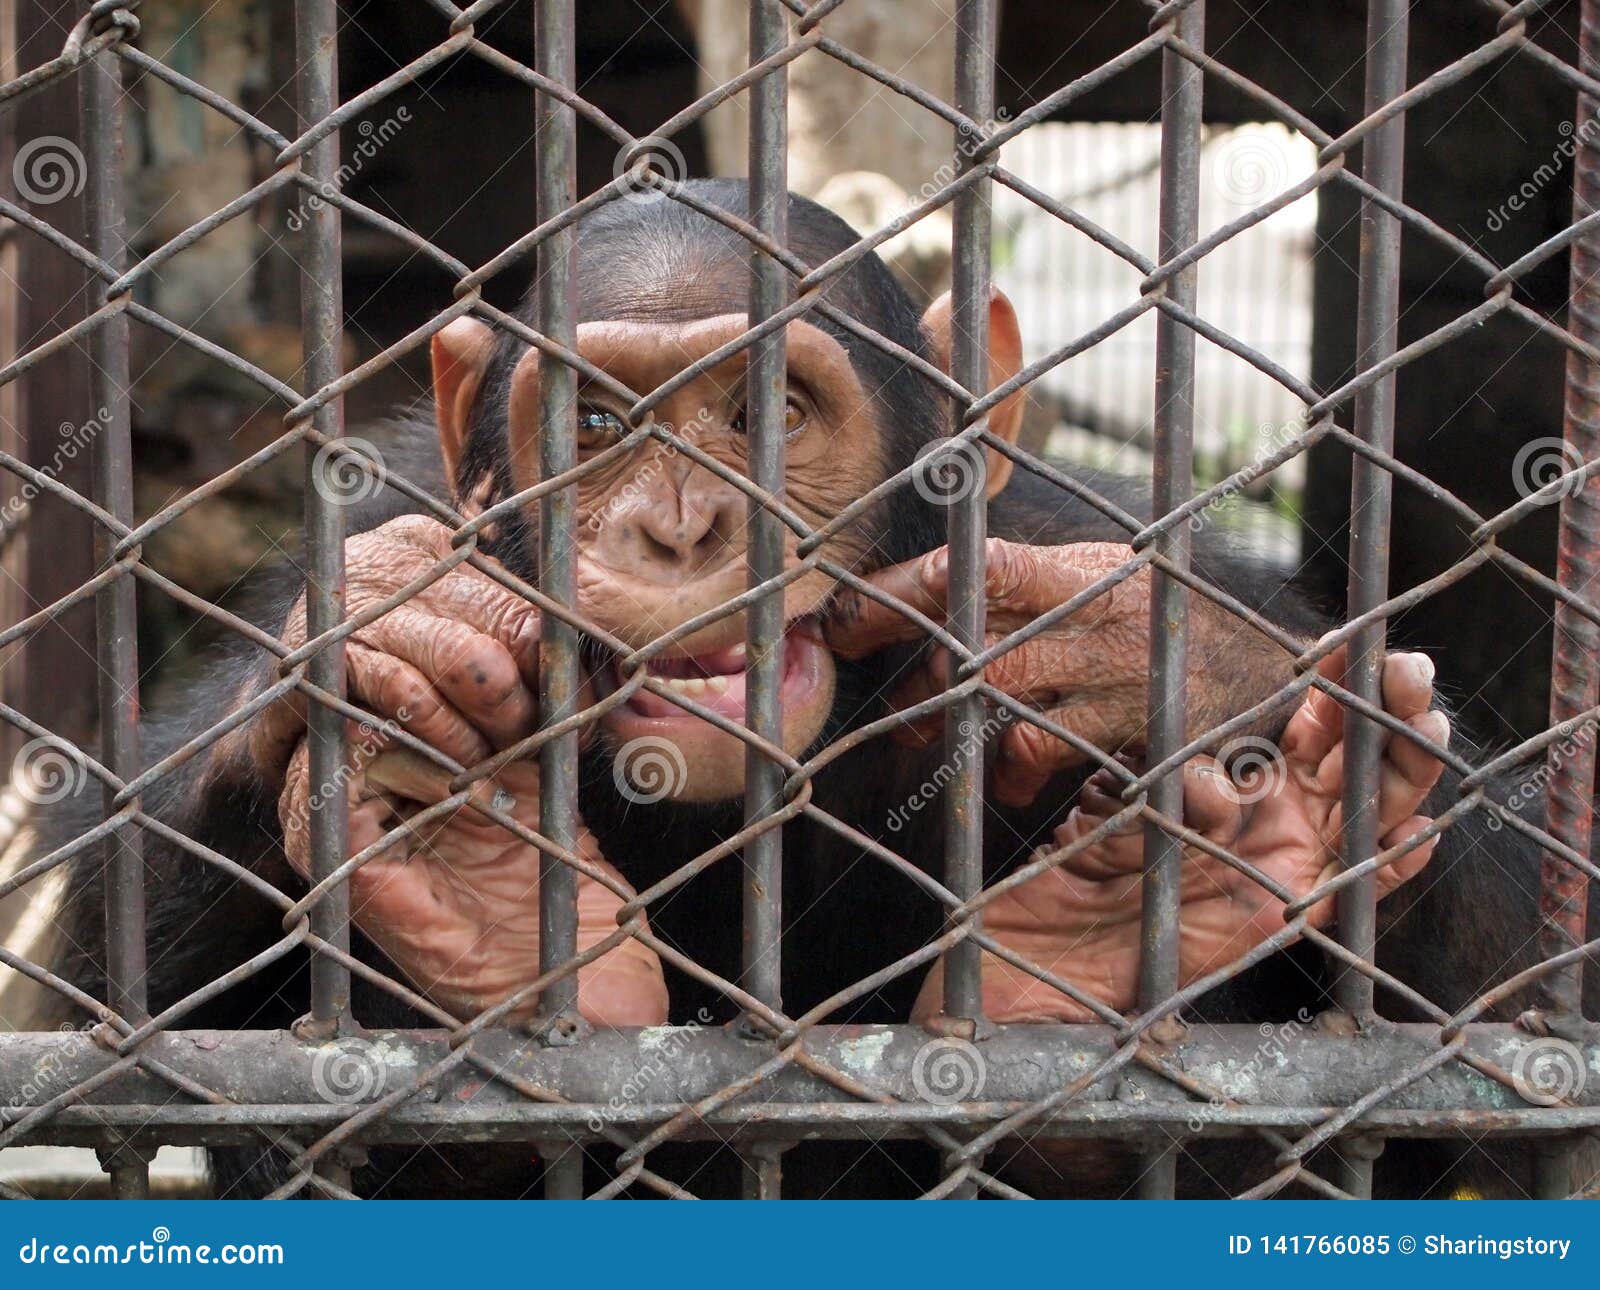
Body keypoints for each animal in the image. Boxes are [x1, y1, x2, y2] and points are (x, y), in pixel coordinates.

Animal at [15, 179, 1594, 1199]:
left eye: (768, 411)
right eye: (602, 422)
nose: (679, 526)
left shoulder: (1046, 521)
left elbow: (1496, 1034)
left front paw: (1189, 665)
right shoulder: (380, 510)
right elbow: (126, 1009)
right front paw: (394, 644)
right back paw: (481, 912)